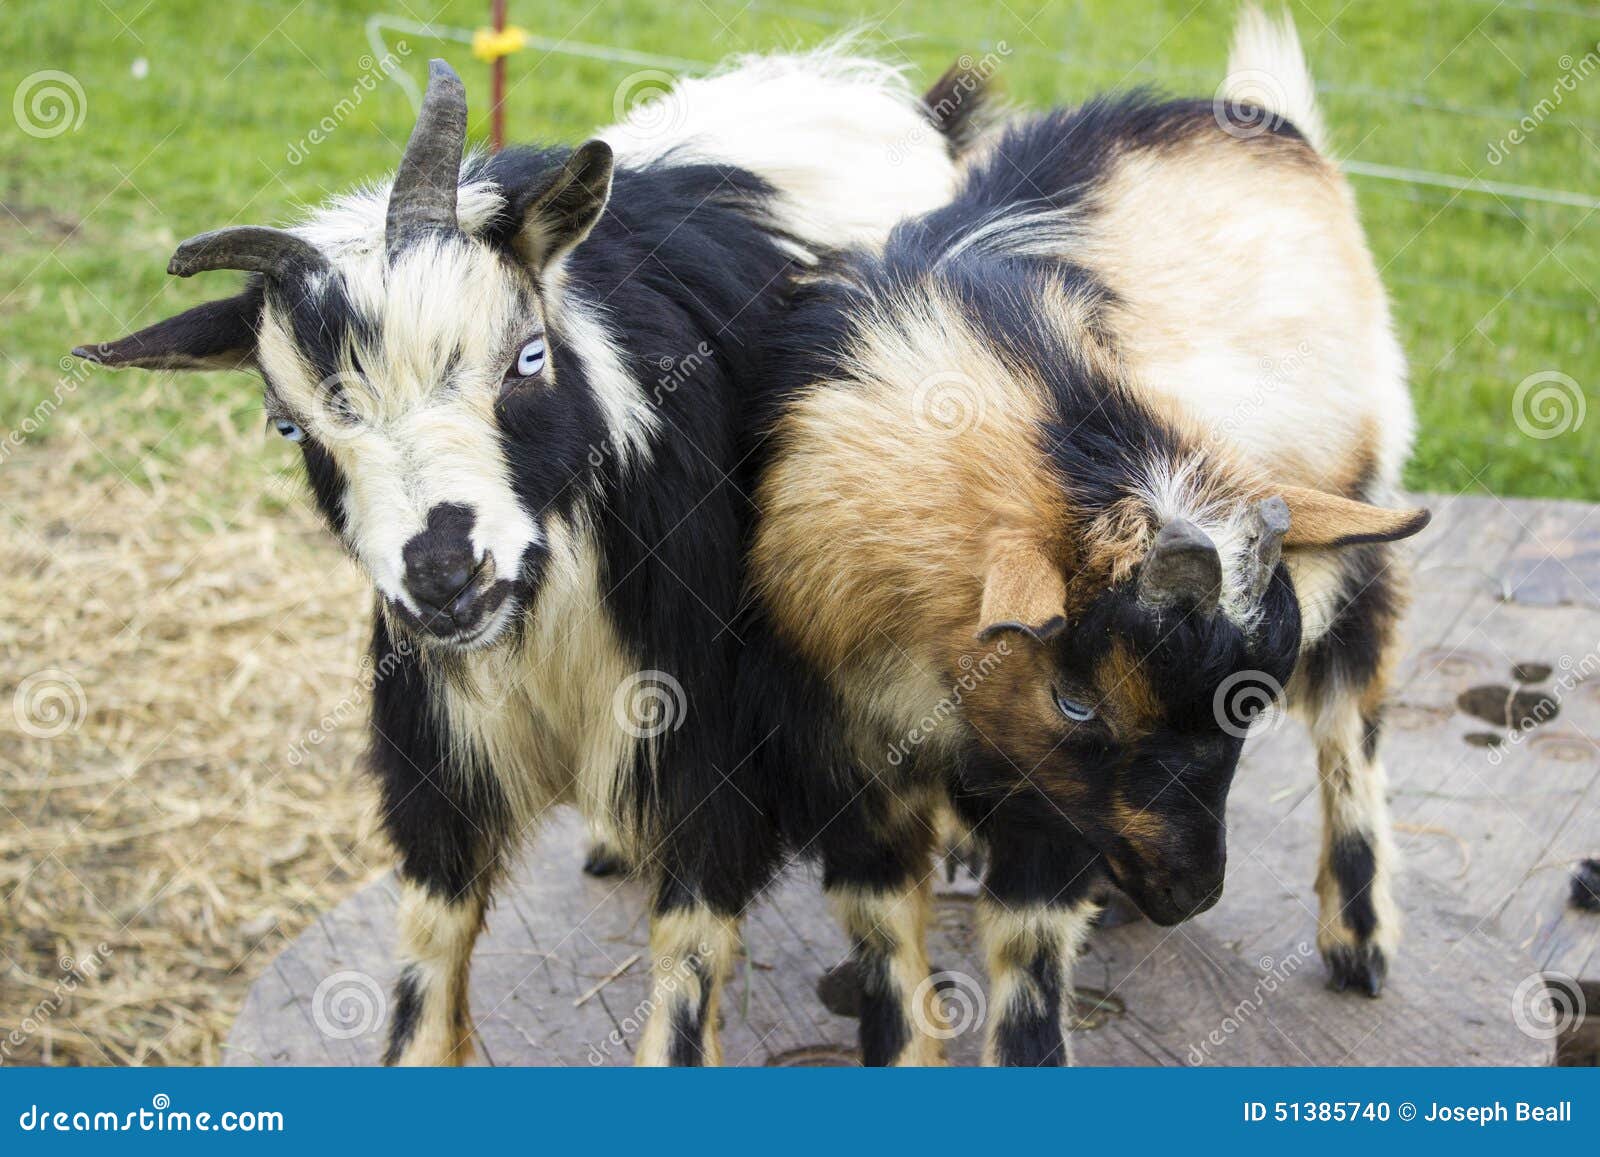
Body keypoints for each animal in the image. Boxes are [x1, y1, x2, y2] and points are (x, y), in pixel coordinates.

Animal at [73, 48, 980, 1066]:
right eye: (289, 425)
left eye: (529, 357)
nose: (444, 574)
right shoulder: (439, 747)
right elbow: (427, 955)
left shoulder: (721, 737)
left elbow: (696, 959)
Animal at [739, 9, 1429, 1065]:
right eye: (1073, 699)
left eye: (1247, 708)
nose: (1188, 893)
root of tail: (1257, 115)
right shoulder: (842, 747)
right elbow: (883, 940)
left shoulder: (1051, 811)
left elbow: (1029, 950)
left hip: (1357, 509)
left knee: (1352, 706)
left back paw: (1358, 938)